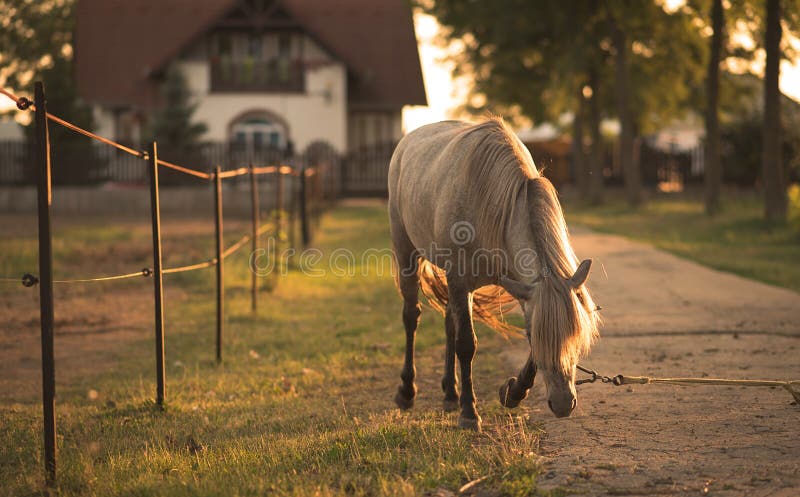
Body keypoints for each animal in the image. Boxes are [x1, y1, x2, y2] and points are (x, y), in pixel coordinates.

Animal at [387, 117, 601, 431]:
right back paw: (407, 392)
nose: (563, 404)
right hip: (407, 254)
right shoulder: (460, 279)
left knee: (449, 321)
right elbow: (466, 344)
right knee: (411, 317)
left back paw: (450, 394)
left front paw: (514, 392)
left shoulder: (522, 290)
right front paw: (469, 413)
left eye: (575, 334)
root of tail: (405, 143)